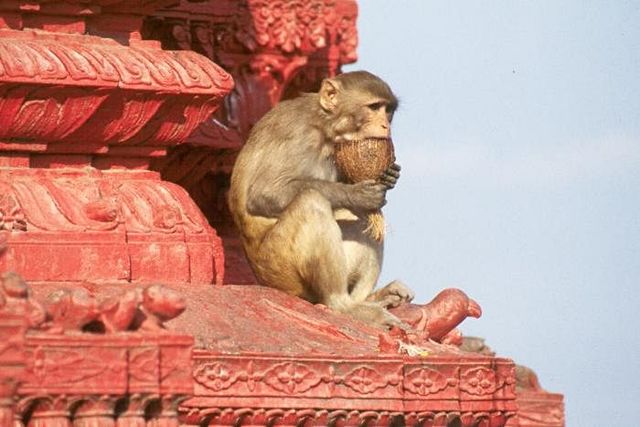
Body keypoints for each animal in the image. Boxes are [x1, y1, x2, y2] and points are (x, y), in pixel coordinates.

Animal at [228, 70, 414, 328]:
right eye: (374, 107)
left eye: (388, 110)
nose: (385, 125)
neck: (325, 127)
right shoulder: (298, 134)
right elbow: (265, 193)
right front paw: (357, 195)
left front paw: (389, 175)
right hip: (282, 273)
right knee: (311, 202)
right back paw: (344, 305)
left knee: (359, 217)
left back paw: (371, 298)